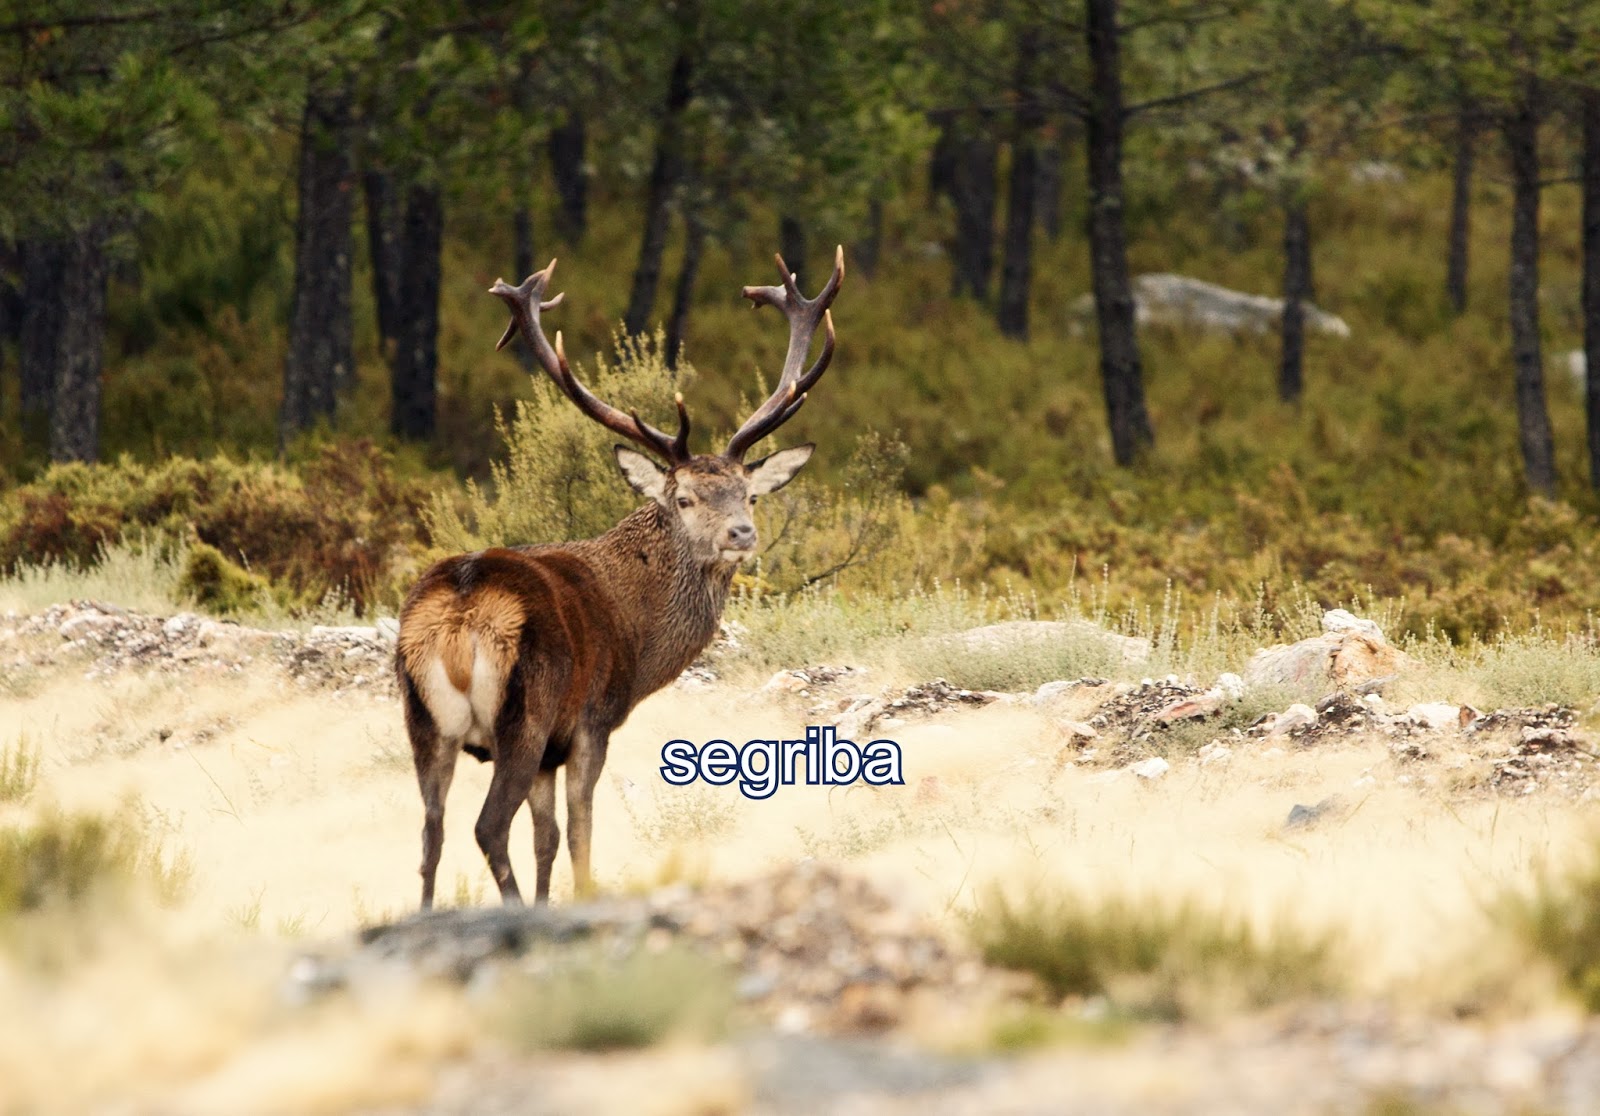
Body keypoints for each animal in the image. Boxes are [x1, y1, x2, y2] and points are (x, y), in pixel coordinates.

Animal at [395, 246, 845, 908]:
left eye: (749, 495)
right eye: (683, 497)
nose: (742, 534)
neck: (639, 634)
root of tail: (461, 610)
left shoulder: (551, 754)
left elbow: (547, 840)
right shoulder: (590, 722)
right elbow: (579, 834)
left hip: (424, 724)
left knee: (430, 835)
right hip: (523, 715)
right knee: (486, 827)